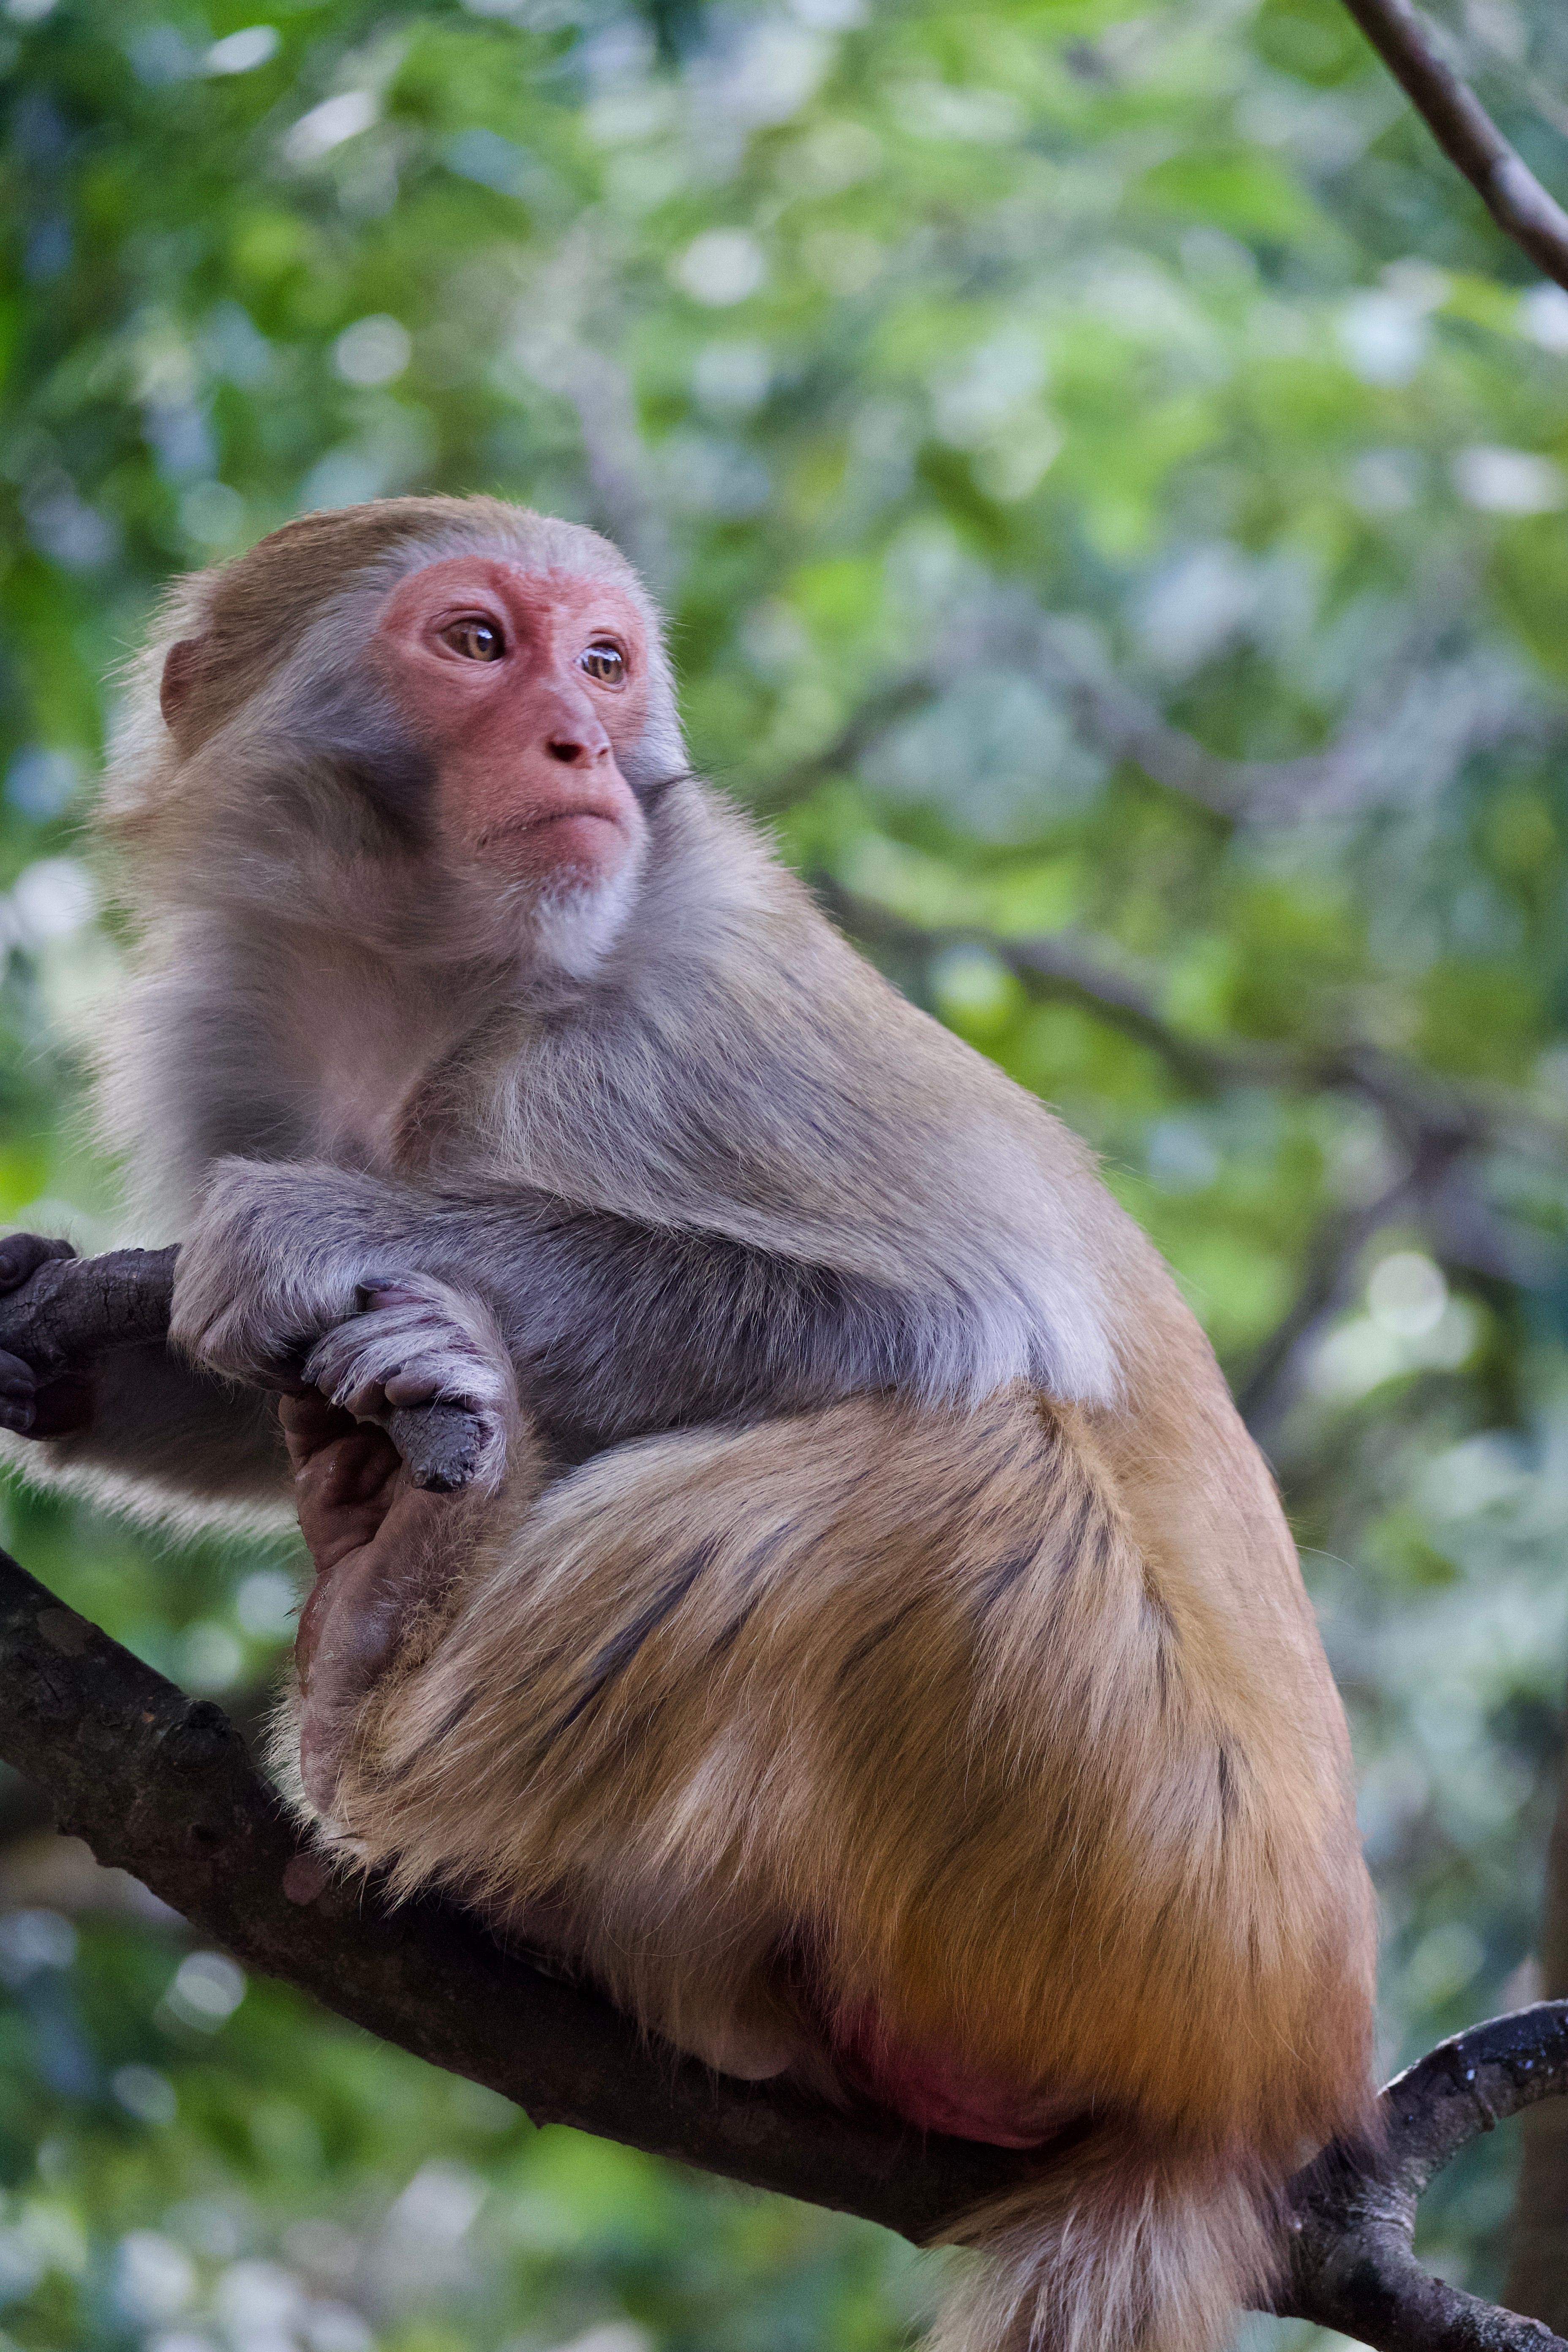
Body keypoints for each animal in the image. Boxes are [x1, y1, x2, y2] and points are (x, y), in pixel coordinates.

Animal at [0, 496, 1377, 2352]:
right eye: (479, 645)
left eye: (602, 662)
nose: (583, 743)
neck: (425, 979)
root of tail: (1274, 2092)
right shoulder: (232, 1022)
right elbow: (243, 1386)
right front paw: (49, 1335)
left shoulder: (673, 991)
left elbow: (973, 1307)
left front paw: (308, 1229)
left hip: (1151, 1894)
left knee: (954, 1465)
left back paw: (374, 1683)